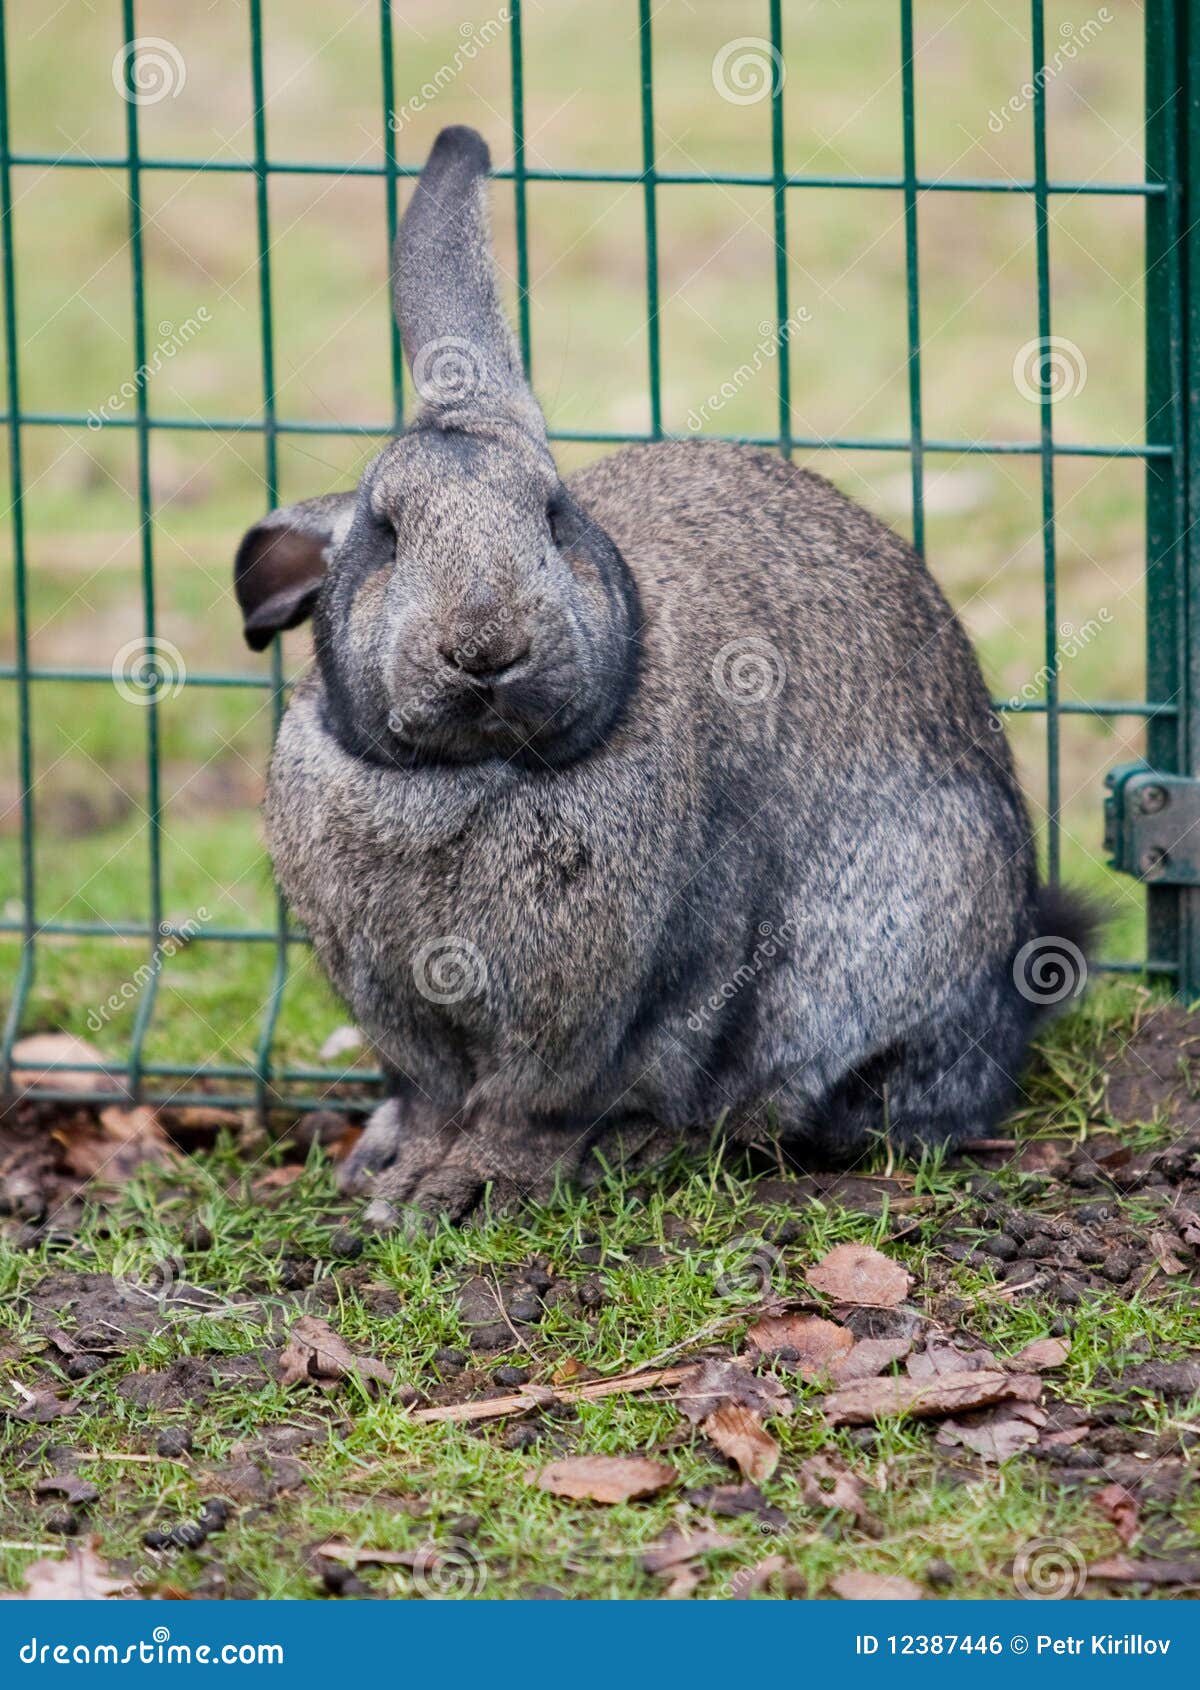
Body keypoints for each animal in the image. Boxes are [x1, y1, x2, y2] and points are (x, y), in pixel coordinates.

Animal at [234, 125, 1094, 1229]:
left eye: (553, 513)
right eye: (386, 531)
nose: (486, 644)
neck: (466, 772)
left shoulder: (614, 995)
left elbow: (534, 1106)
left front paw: (468, 1191)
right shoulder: (403, 1009)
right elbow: (434, 1095)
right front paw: (406, 1179)